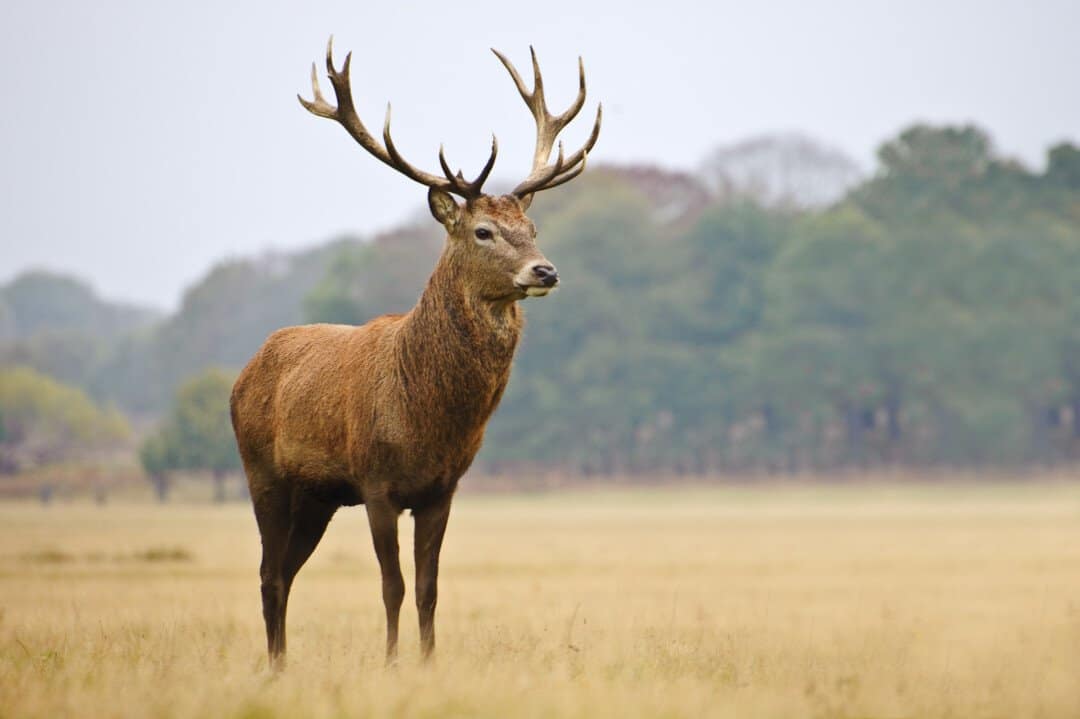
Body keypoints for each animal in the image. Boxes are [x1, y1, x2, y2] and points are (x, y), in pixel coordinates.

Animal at [230, 38, 601, 671]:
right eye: (482, 231)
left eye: (531, 227)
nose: (545, 270)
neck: (425, 418)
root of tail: (245, 370)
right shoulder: (376, 483)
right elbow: (392, 586)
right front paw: (392, 663)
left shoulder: (441, 489)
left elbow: (429, 586)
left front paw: (427, 662)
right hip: (264, 475)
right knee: (268, 575)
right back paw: (276, 668)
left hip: (317, 498)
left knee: (284, 572)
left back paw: (282, 662)